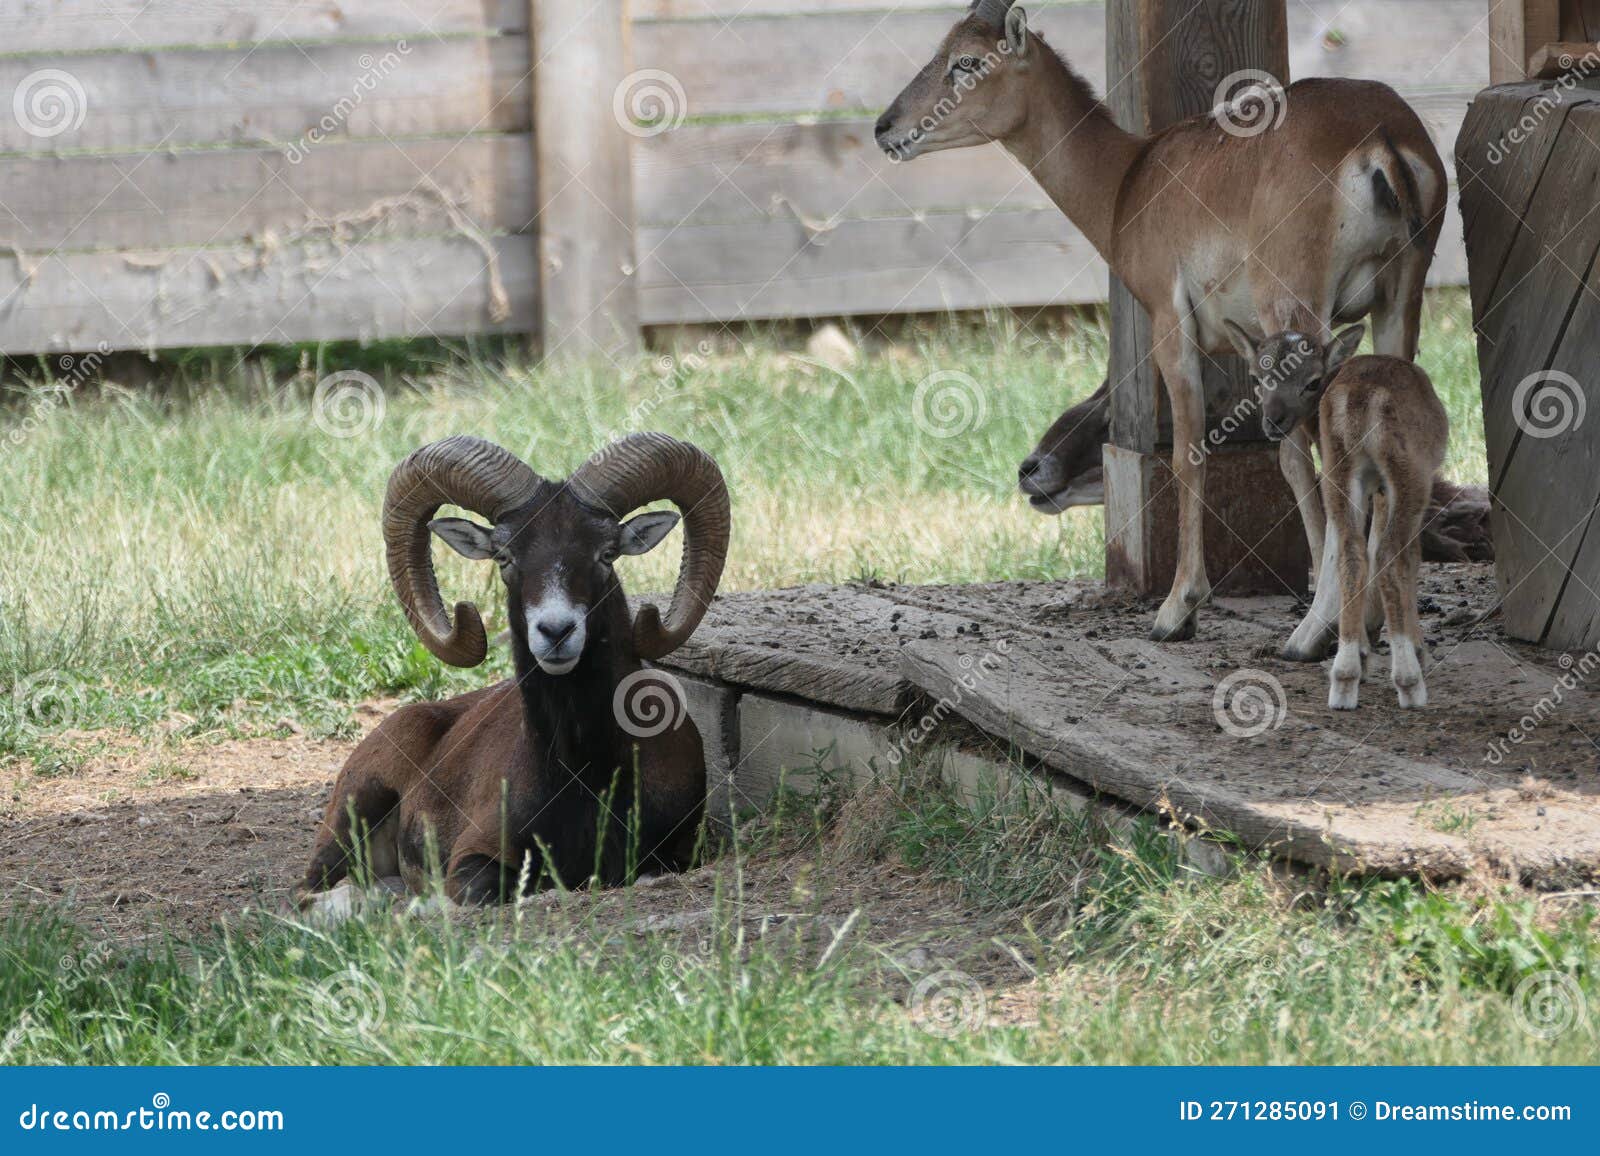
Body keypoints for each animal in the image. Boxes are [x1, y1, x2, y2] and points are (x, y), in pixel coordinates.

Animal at [298, 433, 730, 906]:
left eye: (607, 553)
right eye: (504, 557)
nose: (556, 632)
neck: (584, 776)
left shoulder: (675, 853)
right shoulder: (472, 859)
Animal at [877, 0, 1447, 644]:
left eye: (967, 62)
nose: (885, 127)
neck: (1131, 179)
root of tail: (1381, 140)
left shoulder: (1170, 323)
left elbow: (1192, 453)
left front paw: (1177, 608)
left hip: (1297, 305)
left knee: (1315, 452)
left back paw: (1315, 625)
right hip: (1400, 298)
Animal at [1226, 324, 1448, 709]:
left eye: (1312, 381)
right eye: (1256, 377)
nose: (1273, 422)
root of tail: (1361, 400)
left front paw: (1363, 652)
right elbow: (1413, 556)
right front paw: (1420, 650)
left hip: (1338, 468)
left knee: (1350, 552)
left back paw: (1344, 677)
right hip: (1409, 470)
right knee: (1389, 556)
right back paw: (1409, 681)